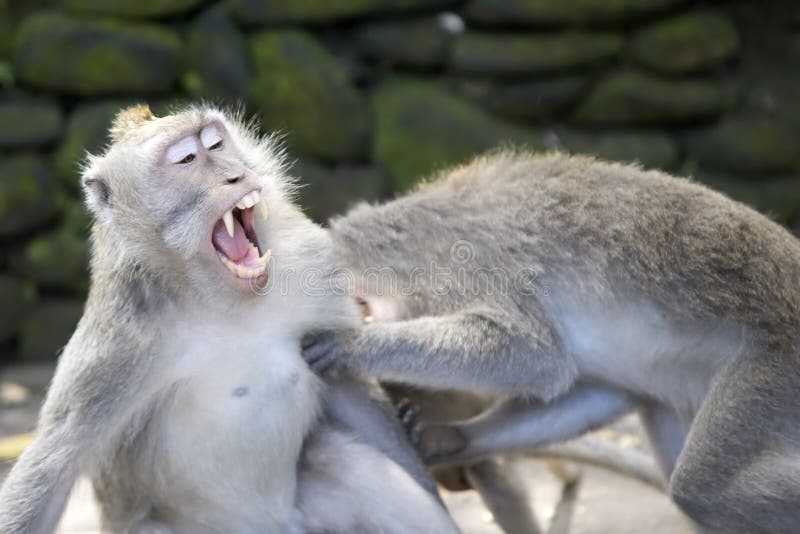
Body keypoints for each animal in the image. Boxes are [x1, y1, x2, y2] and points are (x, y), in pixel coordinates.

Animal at [0, 104, 458, 534]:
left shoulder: (311, 262)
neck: (221, 303)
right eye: (186, 159)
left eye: (216, 144)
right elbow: (56, 458)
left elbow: (348, 385)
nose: (236, 177)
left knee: (341, 459)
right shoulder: (121, 339)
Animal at [303, 149, 800, 532]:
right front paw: (447, 437)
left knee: (703, 488)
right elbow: (583, 384)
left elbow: (537, 356)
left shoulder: (459, 264)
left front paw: (352, 344)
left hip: (781, 367)